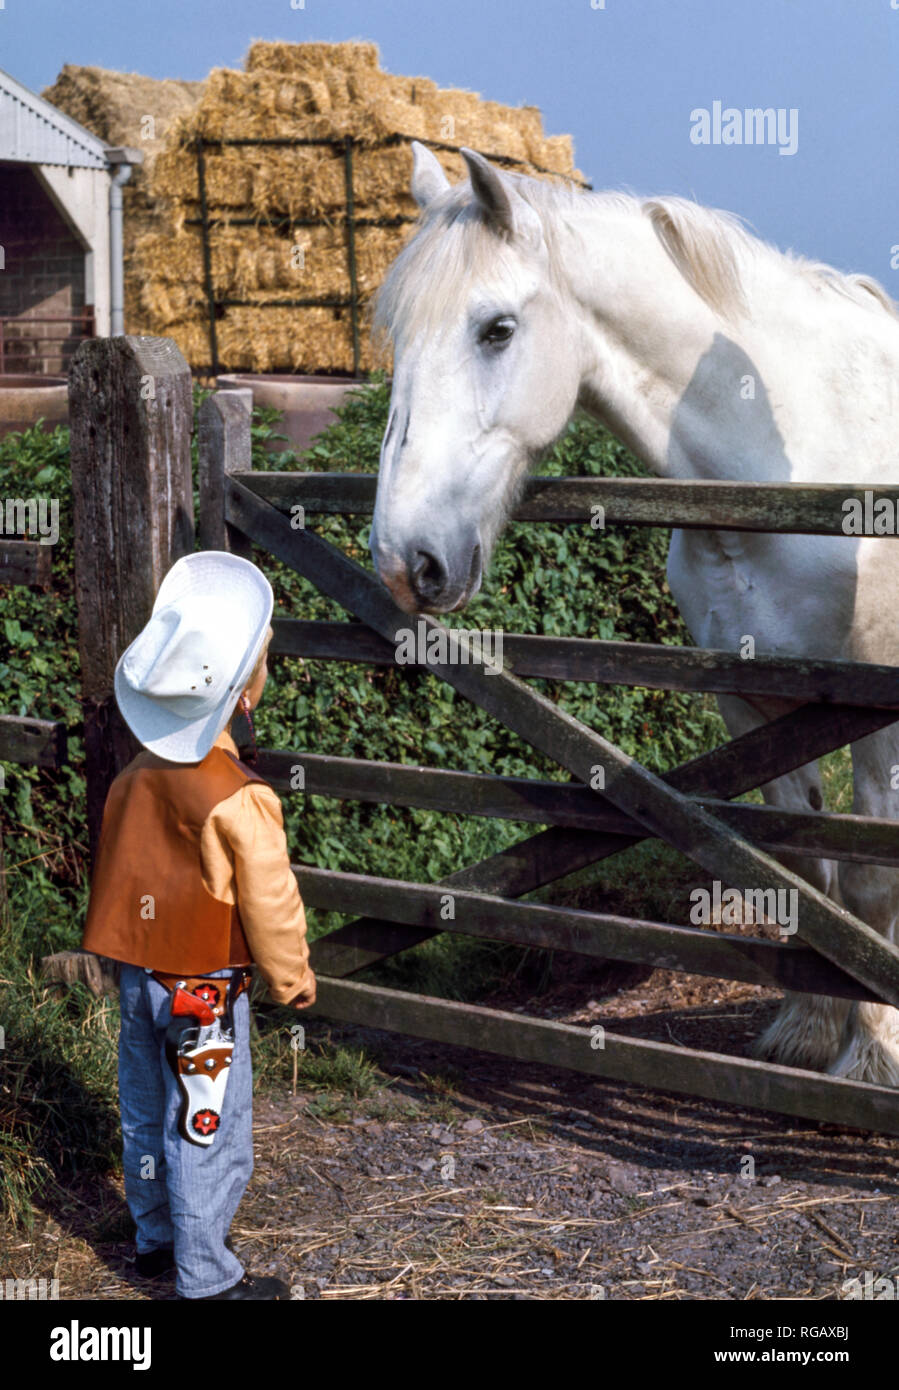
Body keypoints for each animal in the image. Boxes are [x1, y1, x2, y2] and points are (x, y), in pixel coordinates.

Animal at [368, 139, 899, 1087]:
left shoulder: (869, 722)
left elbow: (870, 883)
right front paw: (807, 1030)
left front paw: (869, 1058)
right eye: (394, 335)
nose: (404, 560)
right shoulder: (756, 709)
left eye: (495, 328)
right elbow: (803, 866)